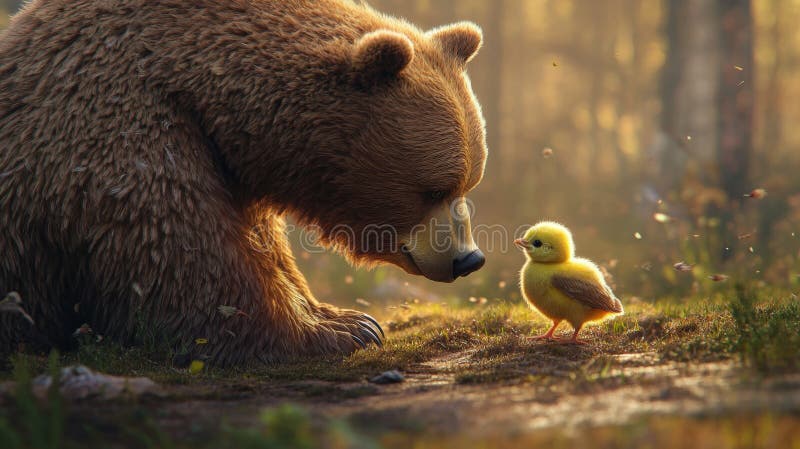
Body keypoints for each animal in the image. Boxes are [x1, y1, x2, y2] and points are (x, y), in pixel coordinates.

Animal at [0, 0, 488, 366]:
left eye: (469, 182)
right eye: (434, 189)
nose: (469, 258)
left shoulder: (227, 166)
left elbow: (263, 245)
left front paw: (344, 318)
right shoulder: (118, 132)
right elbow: (186, 258)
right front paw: (333, 333)